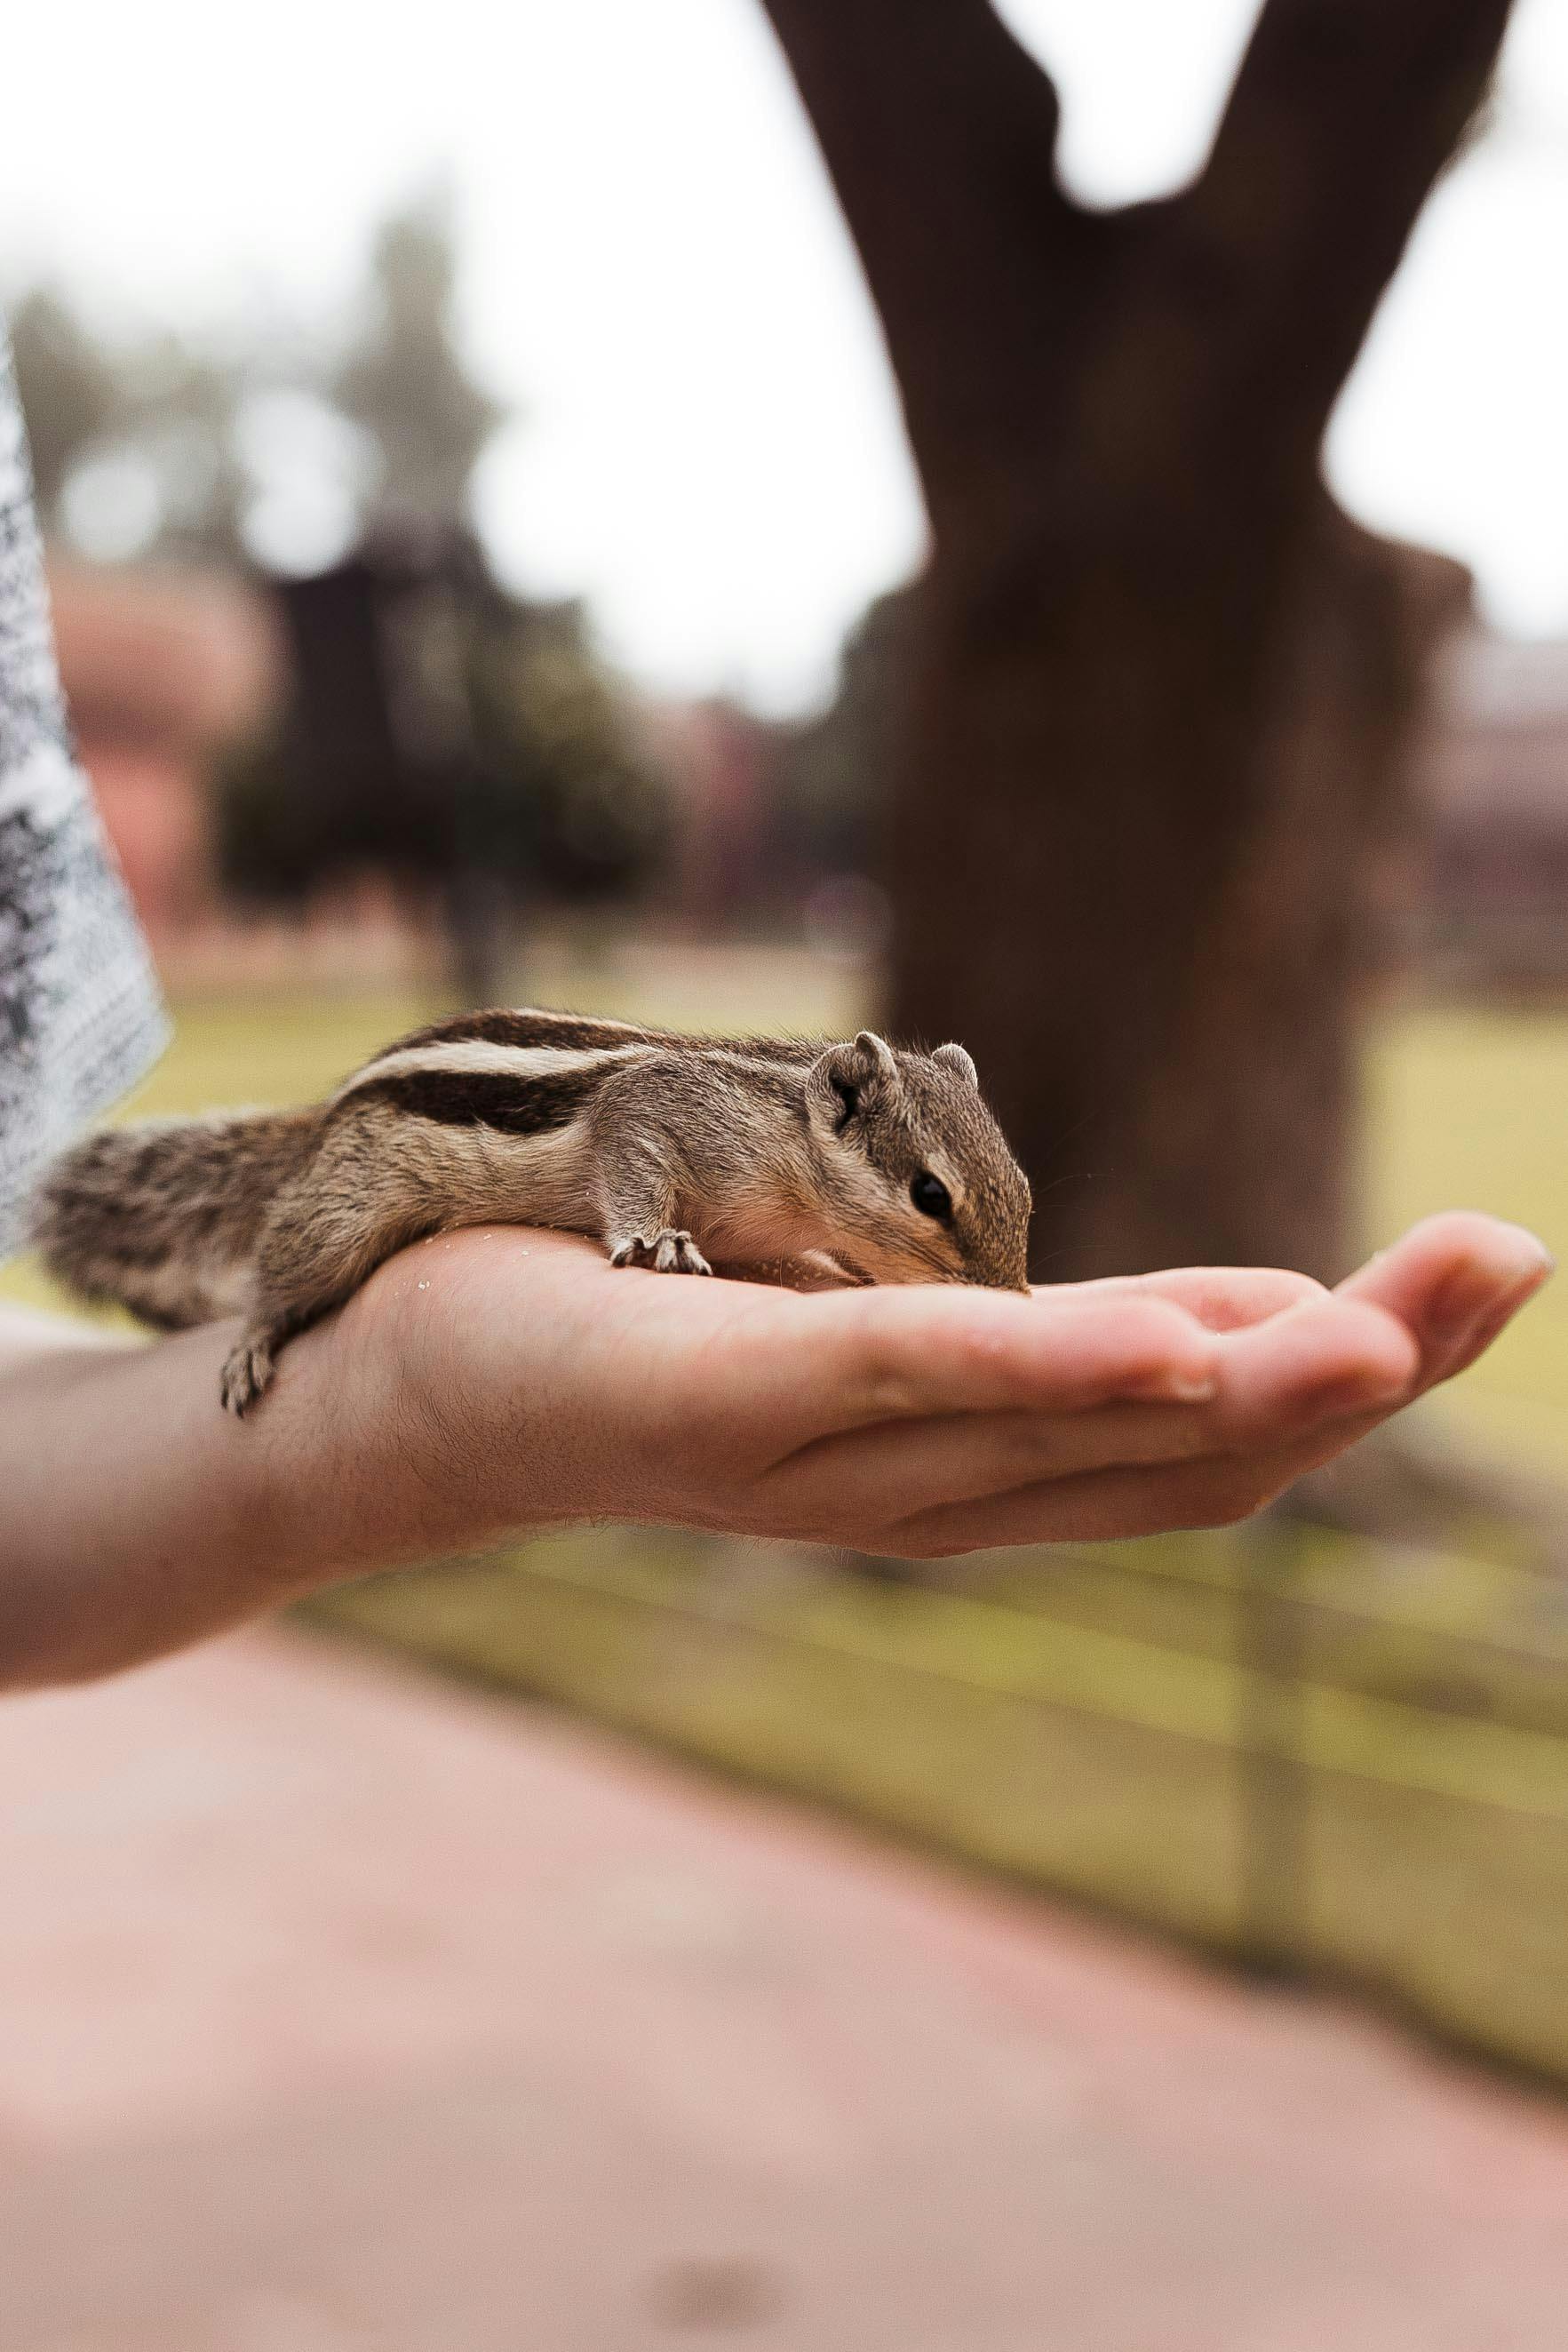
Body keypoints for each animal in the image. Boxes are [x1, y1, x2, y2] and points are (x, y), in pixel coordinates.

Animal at [33, 1006, 1033, 1418]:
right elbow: (630, 1154)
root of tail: (321, 1123)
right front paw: (656, 1239)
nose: (1013, 1297)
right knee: (280, 1272)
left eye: (1022, 1188)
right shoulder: (660, 1116)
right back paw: (251, 1341)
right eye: (931, 1194)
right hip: (337, 1217)